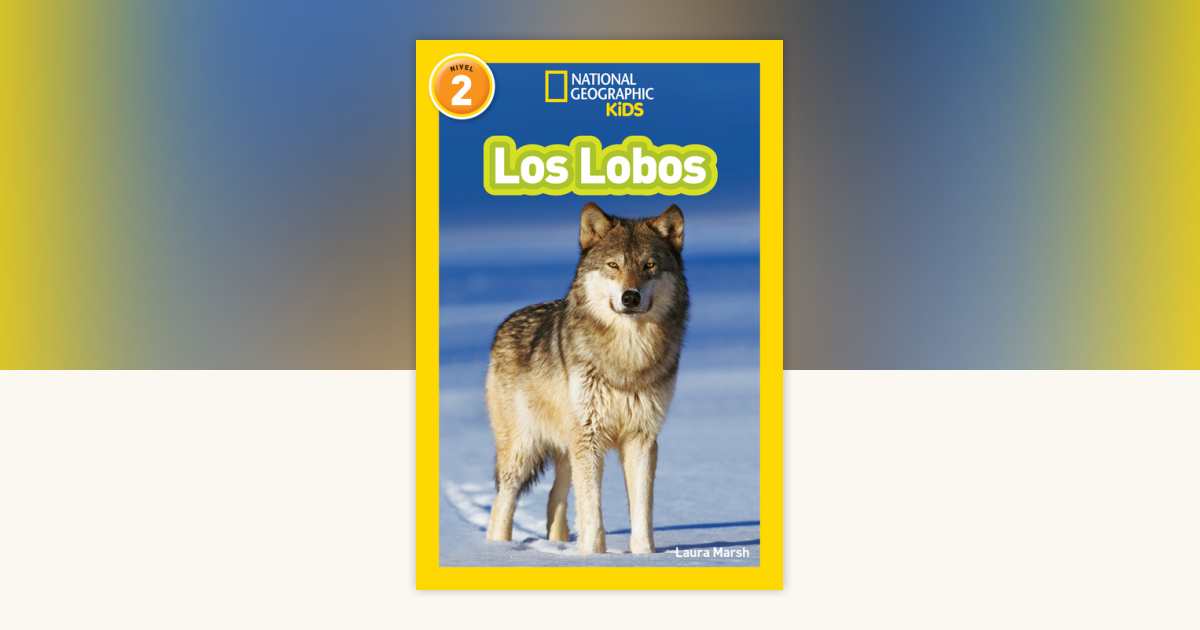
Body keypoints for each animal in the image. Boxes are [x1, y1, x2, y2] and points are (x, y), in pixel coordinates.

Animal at [484, 202, 688, 554]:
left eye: (649, 265)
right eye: (613, 265)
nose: (630, 297)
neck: (626, 357)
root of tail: (505, 323)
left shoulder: (641, 438)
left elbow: (641, 511)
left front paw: (645, 555)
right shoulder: (590, 438)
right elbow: (592, 513)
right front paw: (593, 555)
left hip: (566, 451)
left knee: (556, 498)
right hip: (523, 451)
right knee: (502, 504)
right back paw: (498, 550)